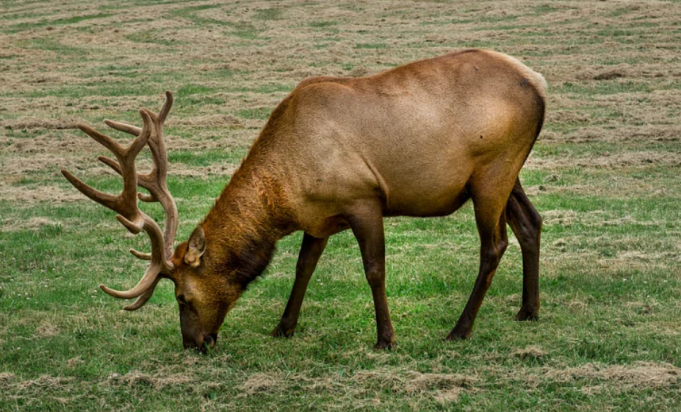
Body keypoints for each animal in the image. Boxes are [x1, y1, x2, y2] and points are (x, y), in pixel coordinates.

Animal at [62, 49, 546, 351]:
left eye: (182, 296)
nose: (193, 344)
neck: (287, 196)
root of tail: (539, 83)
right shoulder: (318, 217)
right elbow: (302, 268)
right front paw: (283, 327)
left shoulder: (363, 198)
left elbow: (374, 270)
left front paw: (386, 338)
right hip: (509, 173)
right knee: (531, 223)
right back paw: (528, 310)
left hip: (492, 170)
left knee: (494, 244)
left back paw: (459, 330)